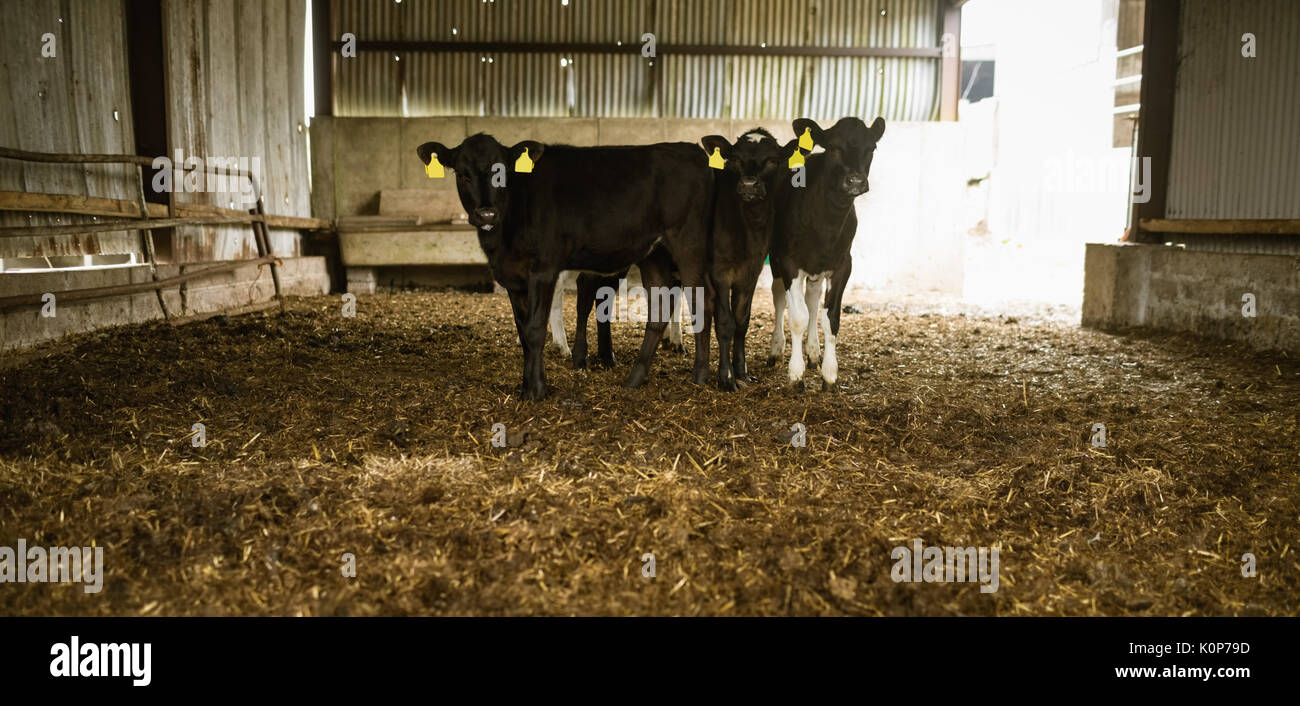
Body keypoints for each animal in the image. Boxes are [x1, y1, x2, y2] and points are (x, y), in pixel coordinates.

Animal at [416, 134, 714, 400]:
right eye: (462, 174)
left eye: (502, 172)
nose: (486, 214)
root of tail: (692, 150)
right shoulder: (513, 278)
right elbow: (523, 332)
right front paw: (527, 387)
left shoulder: (543, 270)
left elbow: (535, 329)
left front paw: (536, 392)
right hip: (654, 254)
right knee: (661, 309)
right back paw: (635, 378)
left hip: (689, 245)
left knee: (701, 302)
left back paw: (699, 377)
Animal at [699, 128, 800, 391]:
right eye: (735, 158)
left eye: (772, 160)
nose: (748, 184)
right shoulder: (720, 272)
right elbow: (725, 322)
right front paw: (726, 378)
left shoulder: (751, 272)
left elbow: (742, 321)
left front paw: (741, 372)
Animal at [766, 116, 885, 391]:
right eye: (833, 147)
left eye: (872, 148)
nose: (855, 181)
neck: (825, 222)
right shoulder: (789, 262)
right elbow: (797, 317)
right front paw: (796, 375)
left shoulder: (843, 264)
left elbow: (830, 317)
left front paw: (829, 374)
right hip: (775, 258)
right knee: (780, 297)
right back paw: (777, 349)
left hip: (817, 267)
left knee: (812, 299)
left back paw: (813, 353)